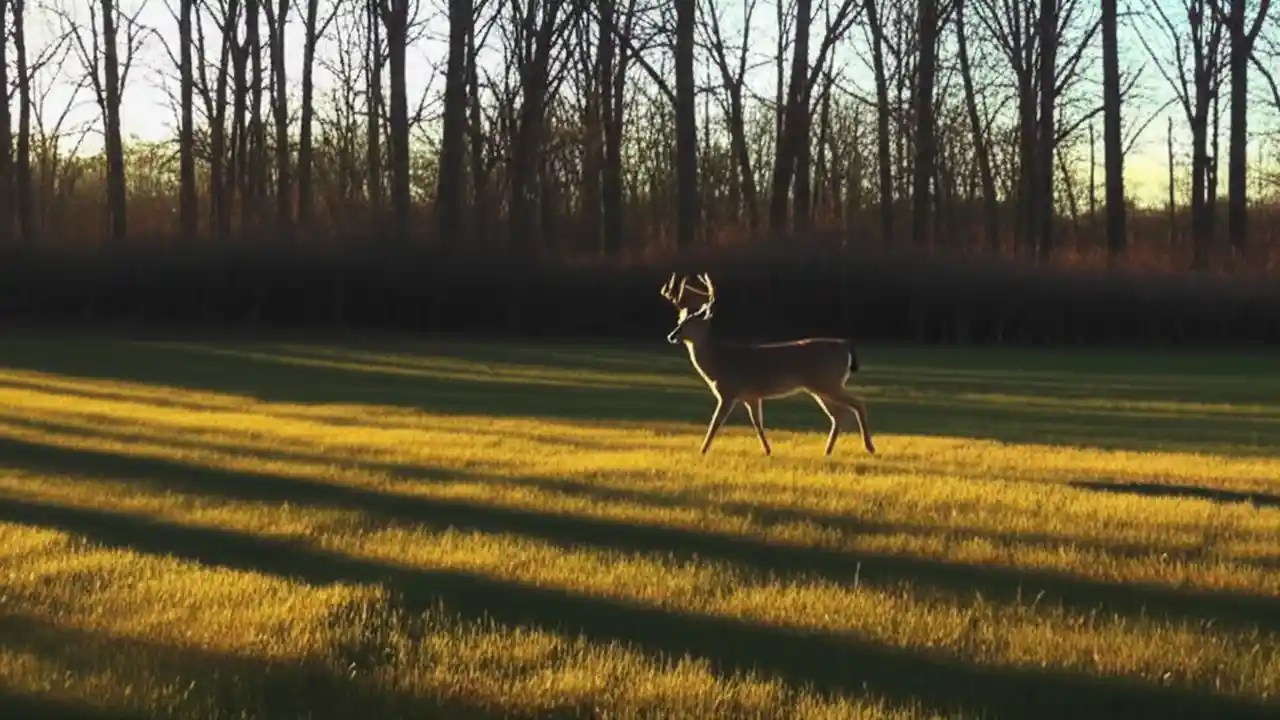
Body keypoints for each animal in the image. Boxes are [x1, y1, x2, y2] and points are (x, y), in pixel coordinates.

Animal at [660, 273, 876, 457]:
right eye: (679, 321)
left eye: (691, 323)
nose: (671, 336)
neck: (720, 362)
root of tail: (845, 345)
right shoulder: (752, 396)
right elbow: (757, 423)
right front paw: (768, 450)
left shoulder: (729, 392)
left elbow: (716, 422)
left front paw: (703, 451)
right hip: (820, 387)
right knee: (838, 415)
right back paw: (828, 451)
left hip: (828, 382)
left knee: (857, 404)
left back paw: (869, 447)